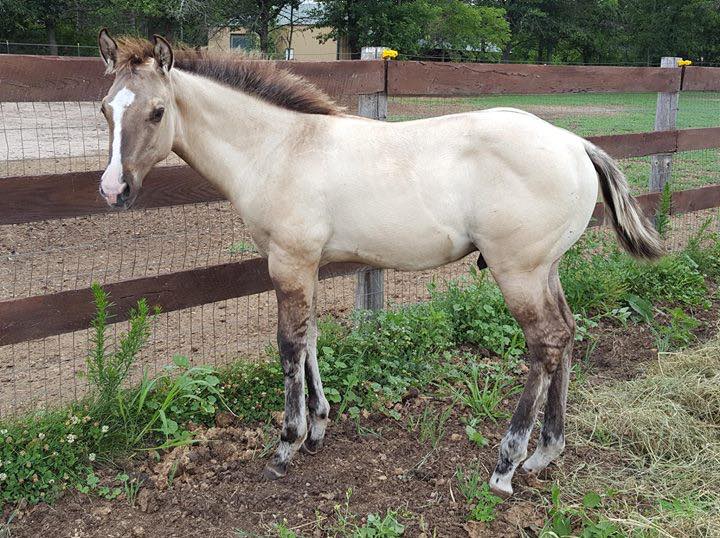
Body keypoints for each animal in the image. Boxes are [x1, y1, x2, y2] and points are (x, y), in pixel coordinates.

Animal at [95, 30, 662, 497]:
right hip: (546, 269)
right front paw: (319, 427)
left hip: (518, 272)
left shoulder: (288, 262)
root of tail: (576, 143)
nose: (113, 190)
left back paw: (507, 464)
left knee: (544, 342)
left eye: (157, 111)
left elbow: (289, 345)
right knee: (566, 333)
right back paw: (546, 452)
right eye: (105, 109)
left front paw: (287, 445)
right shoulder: (307, 265)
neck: (280, 147)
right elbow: (312, 337)